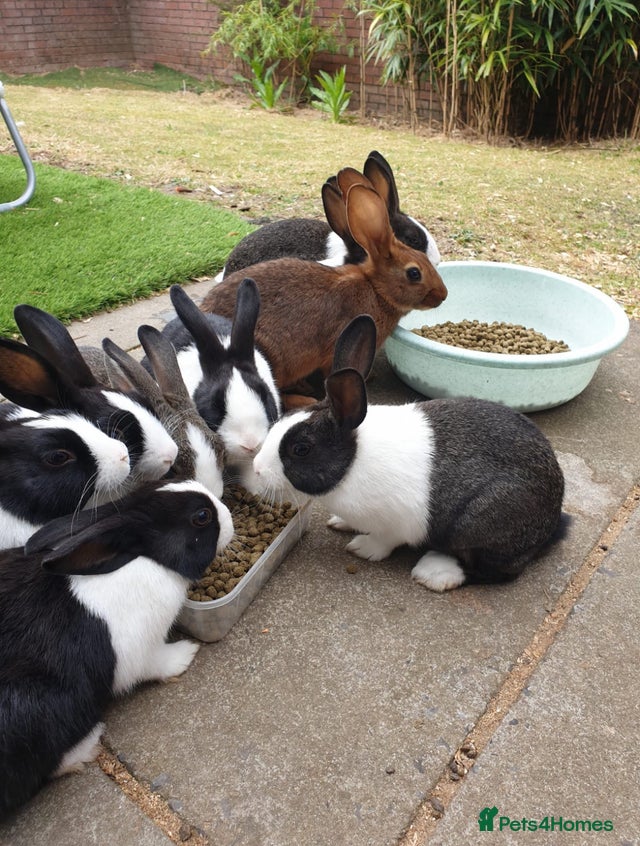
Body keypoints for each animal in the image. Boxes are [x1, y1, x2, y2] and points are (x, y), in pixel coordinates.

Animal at [0, 477, 234, 818]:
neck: (142, 558)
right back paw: (89, 744)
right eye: (201, 517)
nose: (229, 516)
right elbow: (156, 664)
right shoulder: (139, 652)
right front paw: (185, 653)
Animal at [252, 314, 565, 592]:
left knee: (496, 572)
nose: (256, 469)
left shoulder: (397, 524)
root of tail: (552, 520)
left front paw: (362, 548)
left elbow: (384, 541)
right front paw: (340, 523)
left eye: (301, 449)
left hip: (480, 524)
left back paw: (434, 573)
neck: (352, 461)